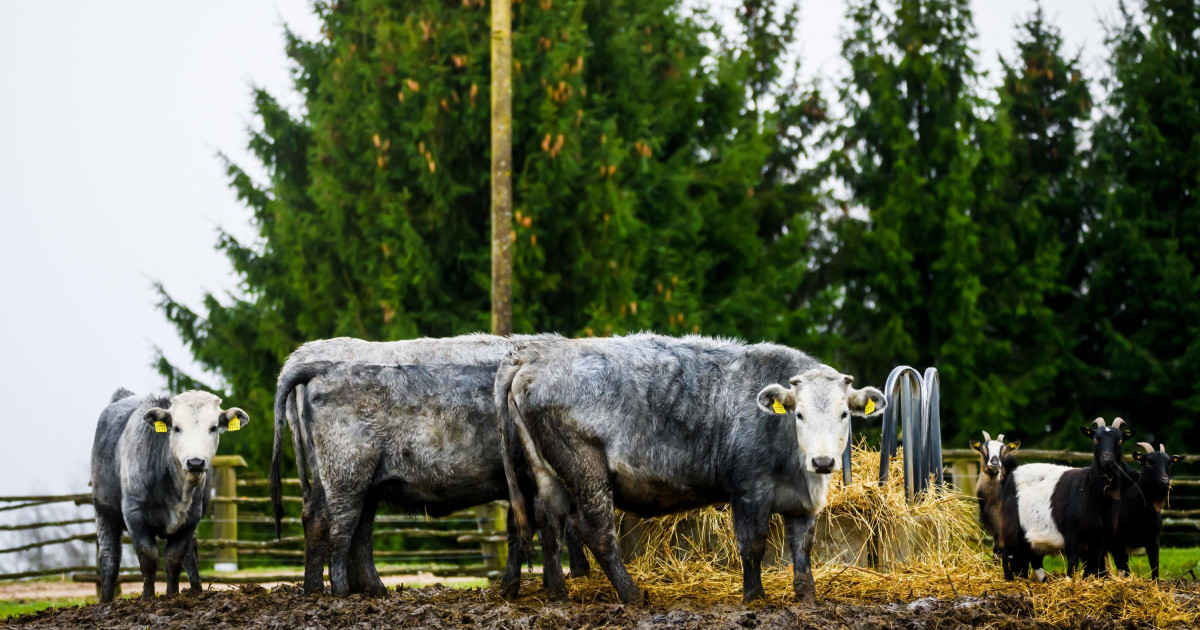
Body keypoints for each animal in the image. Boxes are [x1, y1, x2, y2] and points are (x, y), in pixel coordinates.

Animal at [91, 388, 249, 602]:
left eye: (214, 427)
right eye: (176, 427)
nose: (195, 462)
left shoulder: (191, 518)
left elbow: (174, 559)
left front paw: (172, 596)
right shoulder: (135, 515)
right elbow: (148, 558)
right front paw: (147, 598)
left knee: (191, 555)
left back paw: (197, 590)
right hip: (103, 510)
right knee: (109, 556)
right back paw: (105, 601)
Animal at [268, 333, 588, 597]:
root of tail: (312, 363)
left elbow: (519, 529)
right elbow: (547, 526)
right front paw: (555, 588)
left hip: (348, 479)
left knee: (330, 521)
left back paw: (339, 591)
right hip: (346, 471)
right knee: (338, 526)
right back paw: (341, 593)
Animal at [495, 333, 887, 604]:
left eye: (844, 413)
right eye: (799, 414)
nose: (823, 461)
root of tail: (533, 359)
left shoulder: (802, 504)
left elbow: (803, 549)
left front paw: (807, 597)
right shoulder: (750, 489)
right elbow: (753, 544)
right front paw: (755, 597)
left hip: (548, 473)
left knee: (548, 523)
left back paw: (557, 593)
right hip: (586, 469)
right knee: (595, 531)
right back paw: (632, 595)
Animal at [998, 417, 1135, 581]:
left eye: (1120, 440)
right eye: (1095, 439)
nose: (1107, 458)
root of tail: (1011, 473)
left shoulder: (1099, 539)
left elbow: (1093, 565)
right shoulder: (1072, 534)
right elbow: (1073, 562)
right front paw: (1070, 583)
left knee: (1030, 556)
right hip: (1011, 526)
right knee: (1007, 554)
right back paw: (1009, 580)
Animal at [1108, 442, 1184, 579]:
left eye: (1169, 463)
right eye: (1148, 462)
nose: (1165, 481)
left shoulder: (1153, 539)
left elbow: (1155, 565)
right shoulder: (1118, 542)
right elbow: (1124, 568)